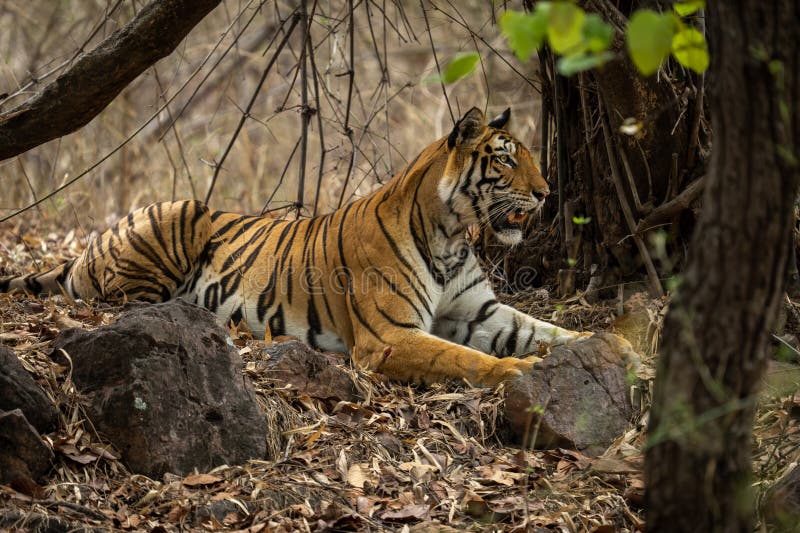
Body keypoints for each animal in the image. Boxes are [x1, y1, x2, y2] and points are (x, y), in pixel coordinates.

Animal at [1, 107, 633, 386]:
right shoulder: (390, 337)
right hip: (172, 219)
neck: (454, 235)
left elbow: (546, 329)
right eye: (505, 159)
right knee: (111, 299)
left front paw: (617, 348)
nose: (548, 193)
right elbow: (469, 358)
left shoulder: (482, 310)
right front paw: (520, 371)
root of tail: (89, 245)